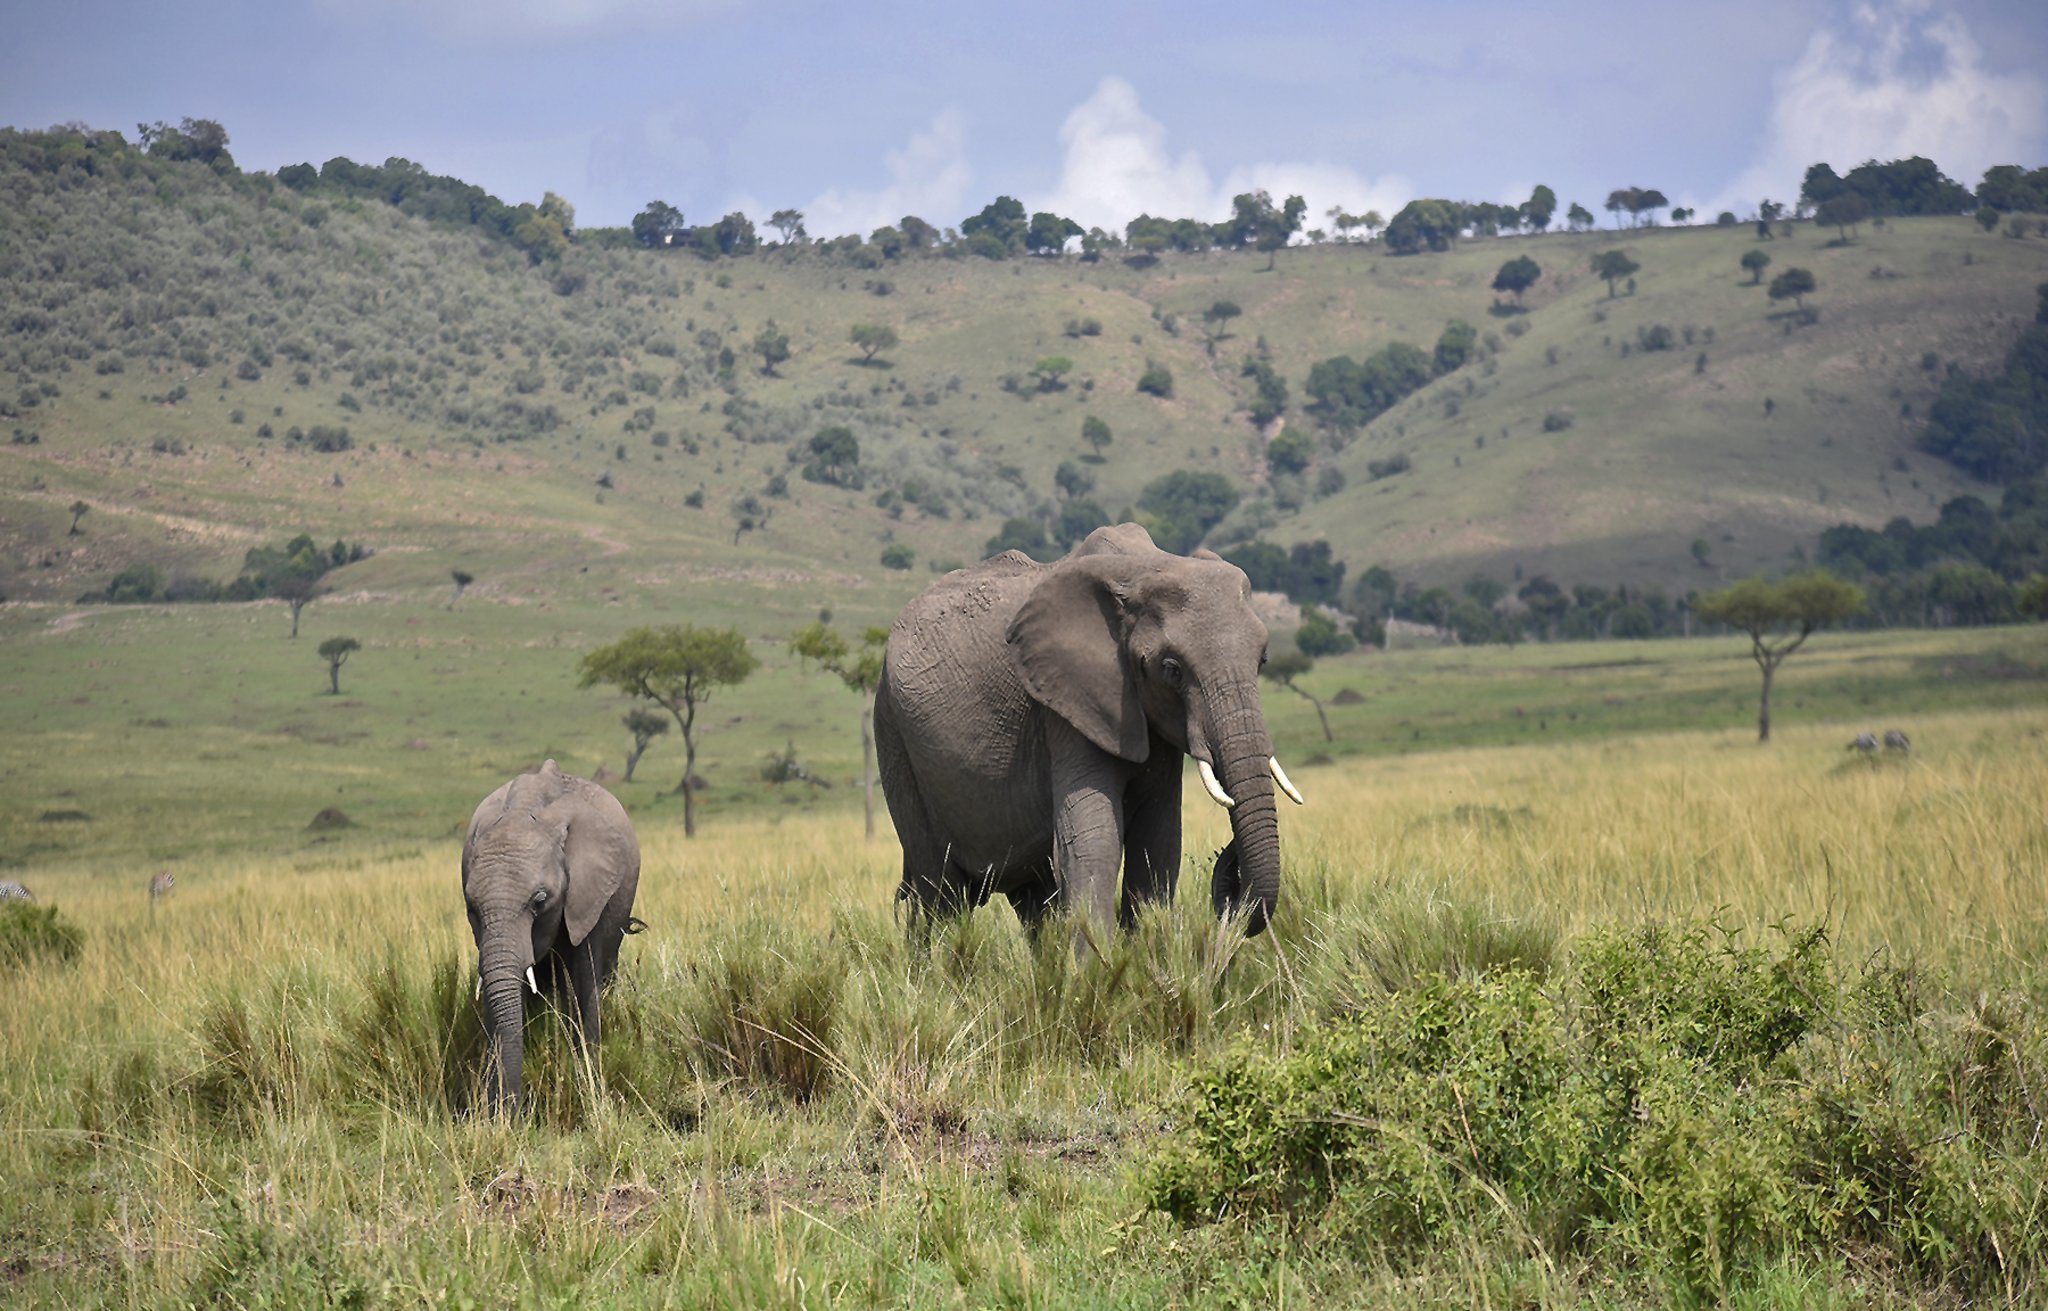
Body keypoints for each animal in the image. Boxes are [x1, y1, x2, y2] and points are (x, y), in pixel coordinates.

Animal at [462, 759, 641, 1111]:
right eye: (472, 907)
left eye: (540, 901)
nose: (512, 1110)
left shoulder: (589, 892)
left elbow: (585, 976)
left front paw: (589, 1082)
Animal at [874, 523, 1302, 941]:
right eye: (1172, 668)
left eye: (1262, 660)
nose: (1228, 859)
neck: (1145, 566)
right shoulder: (1064, 709)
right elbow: (1093, 840)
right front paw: (1096, 960)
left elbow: (1159, 839)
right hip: (893, 733)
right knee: (941, 894)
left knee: (1032, 900)